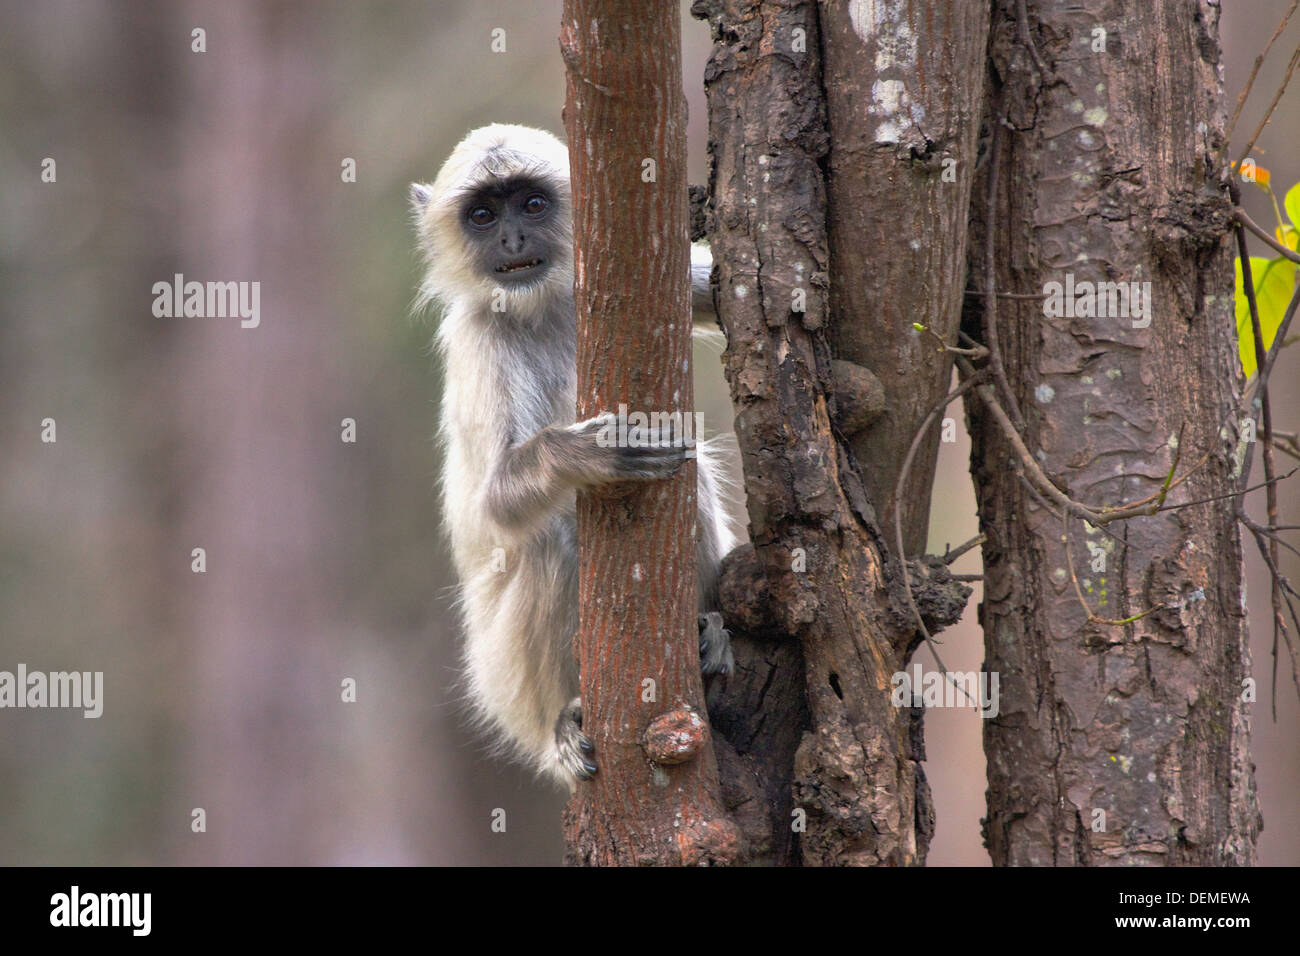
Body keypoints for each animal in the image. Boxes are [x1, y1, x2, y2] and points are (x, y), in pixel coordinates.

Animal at [409, 123, 739, 788]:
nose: (511, 241)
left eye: (532, 204)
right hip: (500, 672)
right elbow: (495, 505)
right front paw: (593, 452)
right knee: (549, 542)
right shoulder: (480, 341)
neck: (539, 309)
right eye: (482, 215)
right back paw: (561, 723)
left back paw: (710, 632)